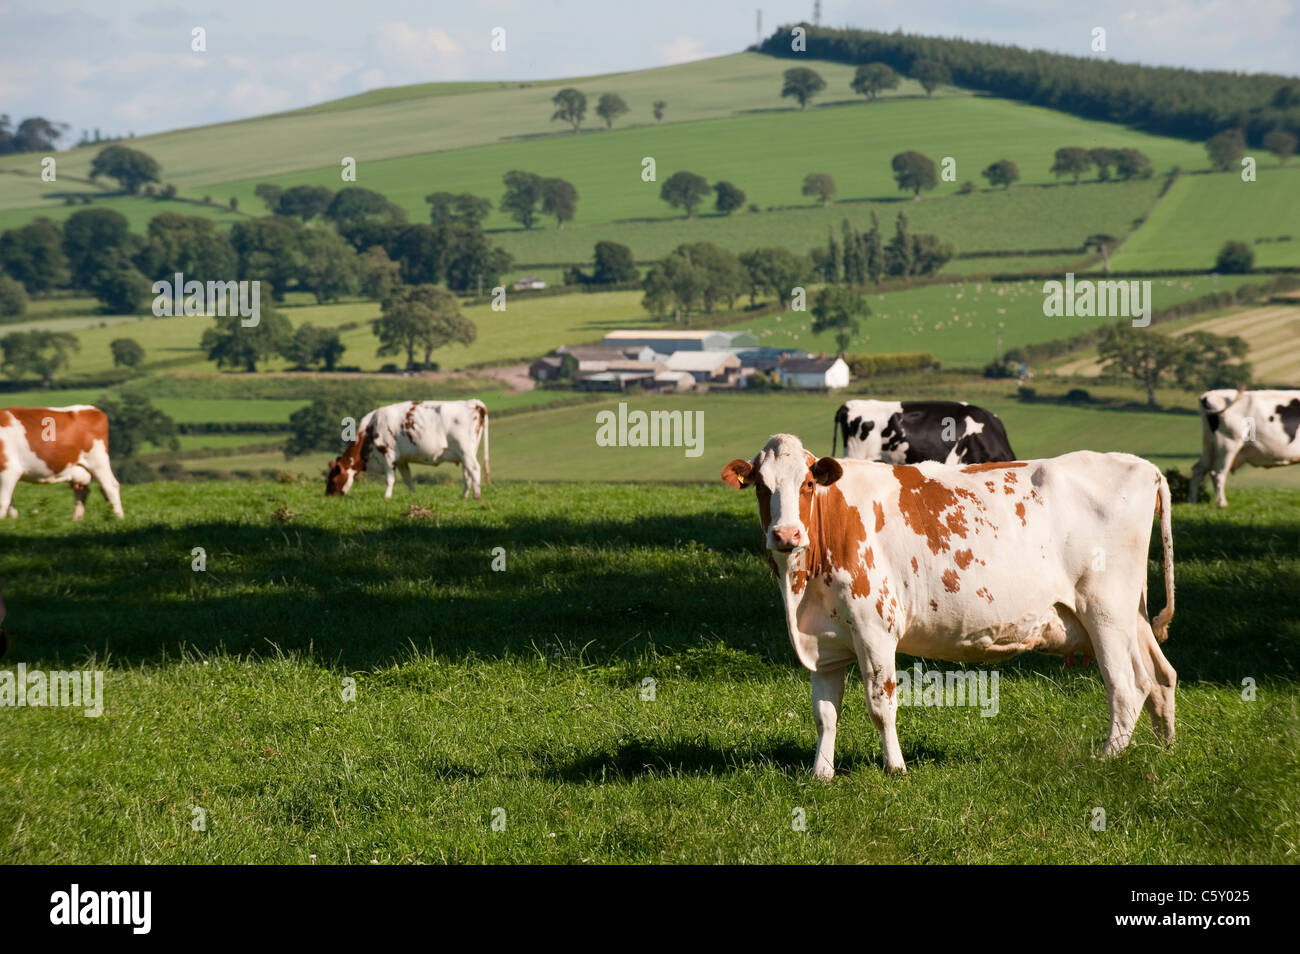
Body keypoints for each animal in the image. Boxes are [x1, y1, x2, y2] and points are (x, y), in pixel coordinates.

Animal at [326, 399, 490, 499]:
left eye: (333, 480)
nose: (328, 496)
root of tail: (473, 402)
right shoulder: (401, 460)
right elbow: (407, 478)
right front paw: (413, 495)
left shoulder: (388, 454)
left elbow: (390, 478)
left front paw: (387, 496)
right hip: (465, 453)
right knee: (467, 473)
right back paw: (464, 496)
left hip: (466, 451)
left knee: (475, 469)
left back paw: (476, 496)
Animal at [721, 434, 1176, 779]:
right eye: (761, 486)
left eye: (808, 485)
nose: (786, 534)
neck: (802, 589)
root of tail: (1142, 466)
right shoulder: (824, 642)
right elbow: (825, 713)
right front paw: (821, 774)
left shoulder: (874, 628)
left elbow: (881, 704)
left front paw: (895, 768)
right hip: (1131, 615)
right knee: (1160, 677)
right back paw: (1164, 750)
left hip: (1106, 611)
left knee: (1127, 686)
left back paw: (1108, 757)